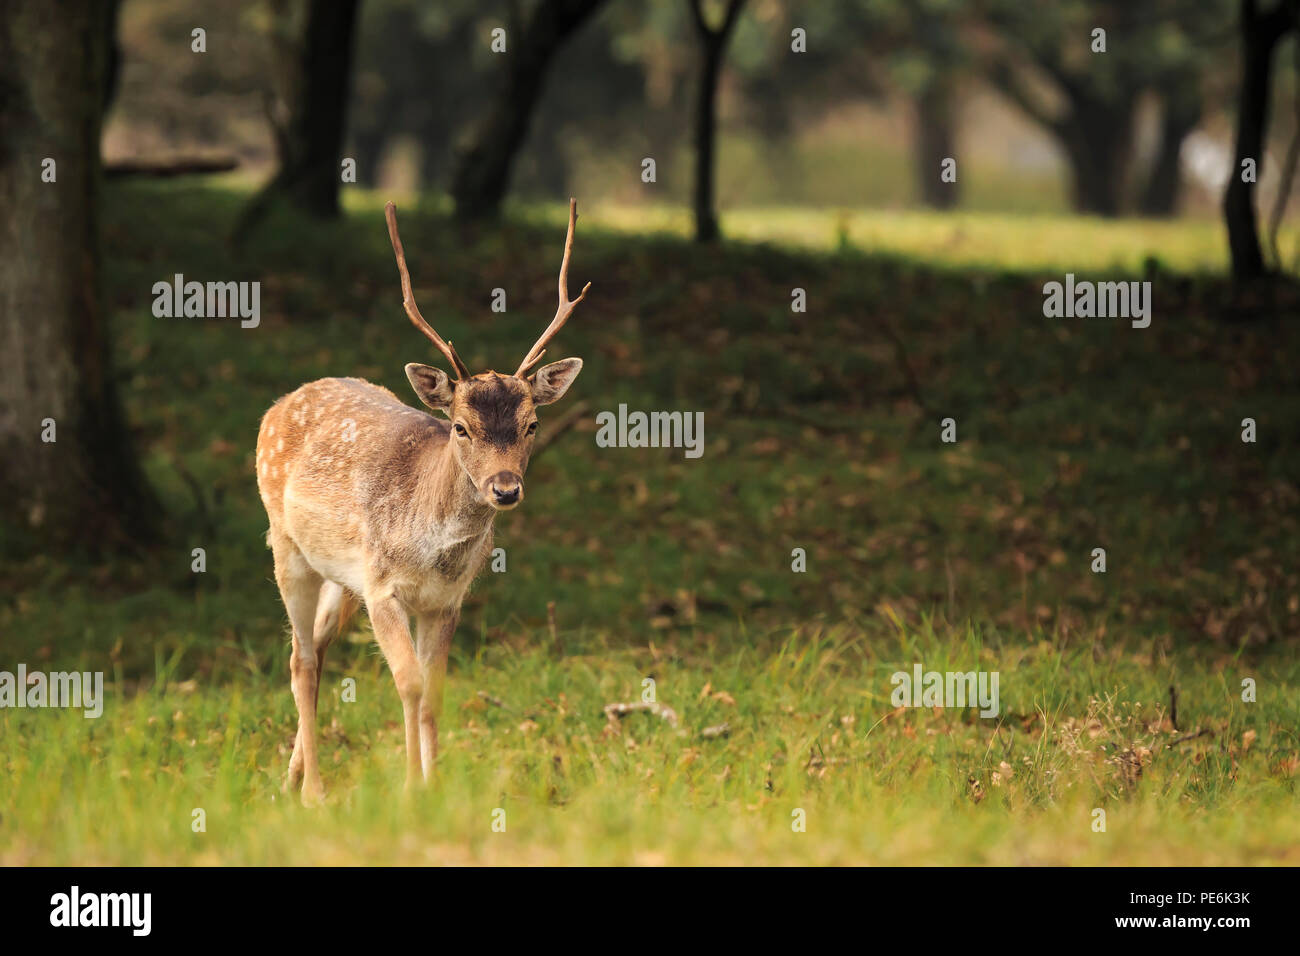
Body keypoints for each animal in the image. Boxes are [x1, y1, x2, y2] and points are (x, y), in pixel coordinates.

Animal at [255, 198, 590, 804]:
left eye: (532, 425)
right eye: (460, 426)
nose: (505, 488)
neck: (431, 550)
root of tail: (280, 403)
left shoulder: (445, 601)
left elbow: (434, 690)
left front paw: (436, 788)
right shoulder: (382, 586)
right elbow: (408, 683)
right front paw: (412, 788)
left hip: (342, 579)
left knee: (317, 646)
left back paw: (290, 778)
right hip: (287, 545)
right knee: (299, 658)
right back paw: (313, 790)